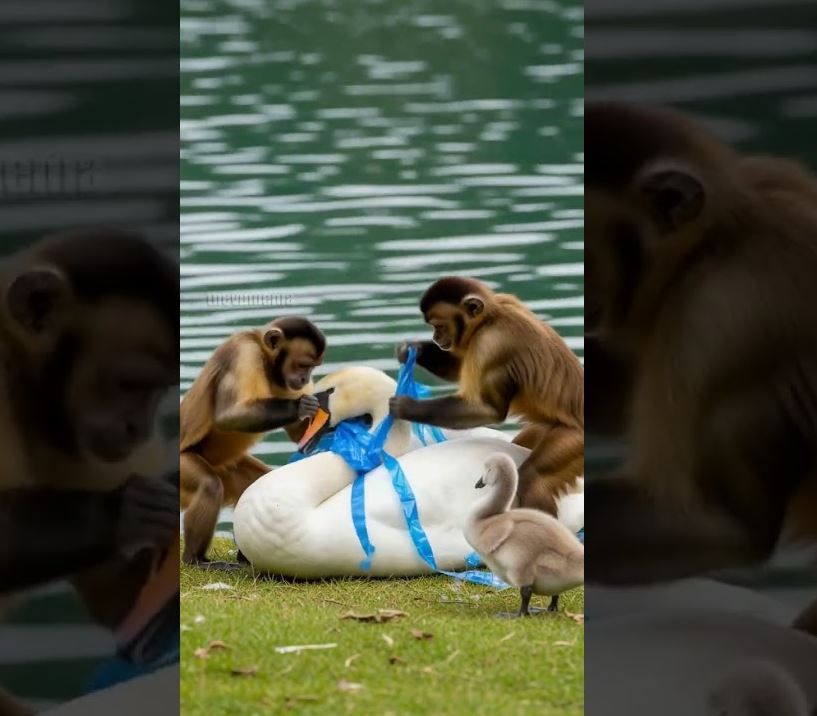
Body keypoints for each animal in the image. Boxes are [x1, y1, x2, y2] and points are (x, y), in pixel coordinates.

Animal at [179, 316, 327, 566]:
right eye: (303, 365)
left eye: (312, 368)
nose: (306, 378)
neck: (268, 365)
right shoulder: (245, 353)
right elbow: (227, 416)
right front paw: (300, 406)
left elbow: (300, 435)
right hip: (180, 465)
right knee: (209, 485)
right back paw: (195, 559)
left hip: (225, 467)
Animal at [389, 277, 584, 516]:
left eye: (439, 326)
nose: (435, 337)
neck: (491, 317)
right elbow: (458, 367)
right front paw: (412, 350)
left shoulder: (490, 344)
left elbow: (489, 410)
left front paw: (406, 407)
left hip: (576, 440)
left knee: (533, 479)